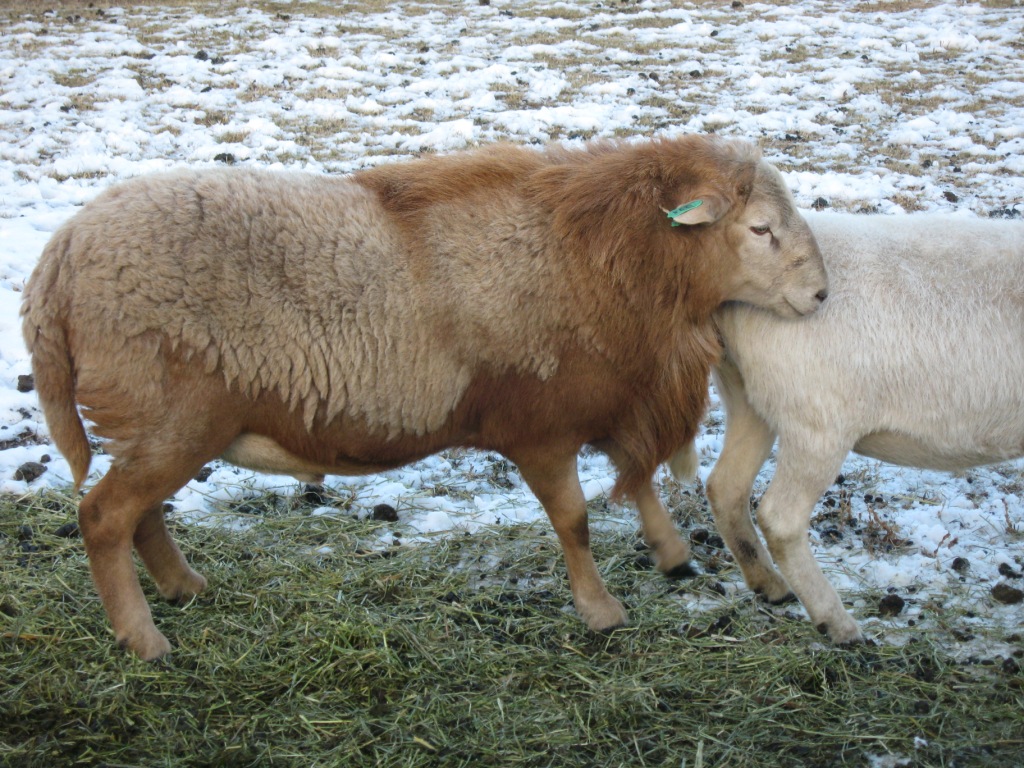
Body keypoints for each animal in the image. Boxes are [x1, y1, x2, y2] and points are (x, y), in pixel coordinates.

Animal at [21, 136, 828, 659]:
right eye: (759, 228)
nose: (822, 295)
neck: (603, 256)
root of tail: (58, 260)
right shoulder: (538, 424)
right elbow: (574, 520)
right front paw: (601, 611)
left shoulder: (601, 396)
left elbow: (639, 478)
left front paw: (672, 554)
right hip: (171, 415)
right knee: (104, 517)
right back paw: (144, 638)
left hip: (163, 423)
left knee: (144, 513)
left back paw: (184, 587)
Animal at [666, 210, 1024, 643]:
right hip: (817, 419)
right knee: (780, 518)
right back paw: (837, 623)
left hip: (748, 397)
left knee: (726, 488)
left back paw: (770, 585)